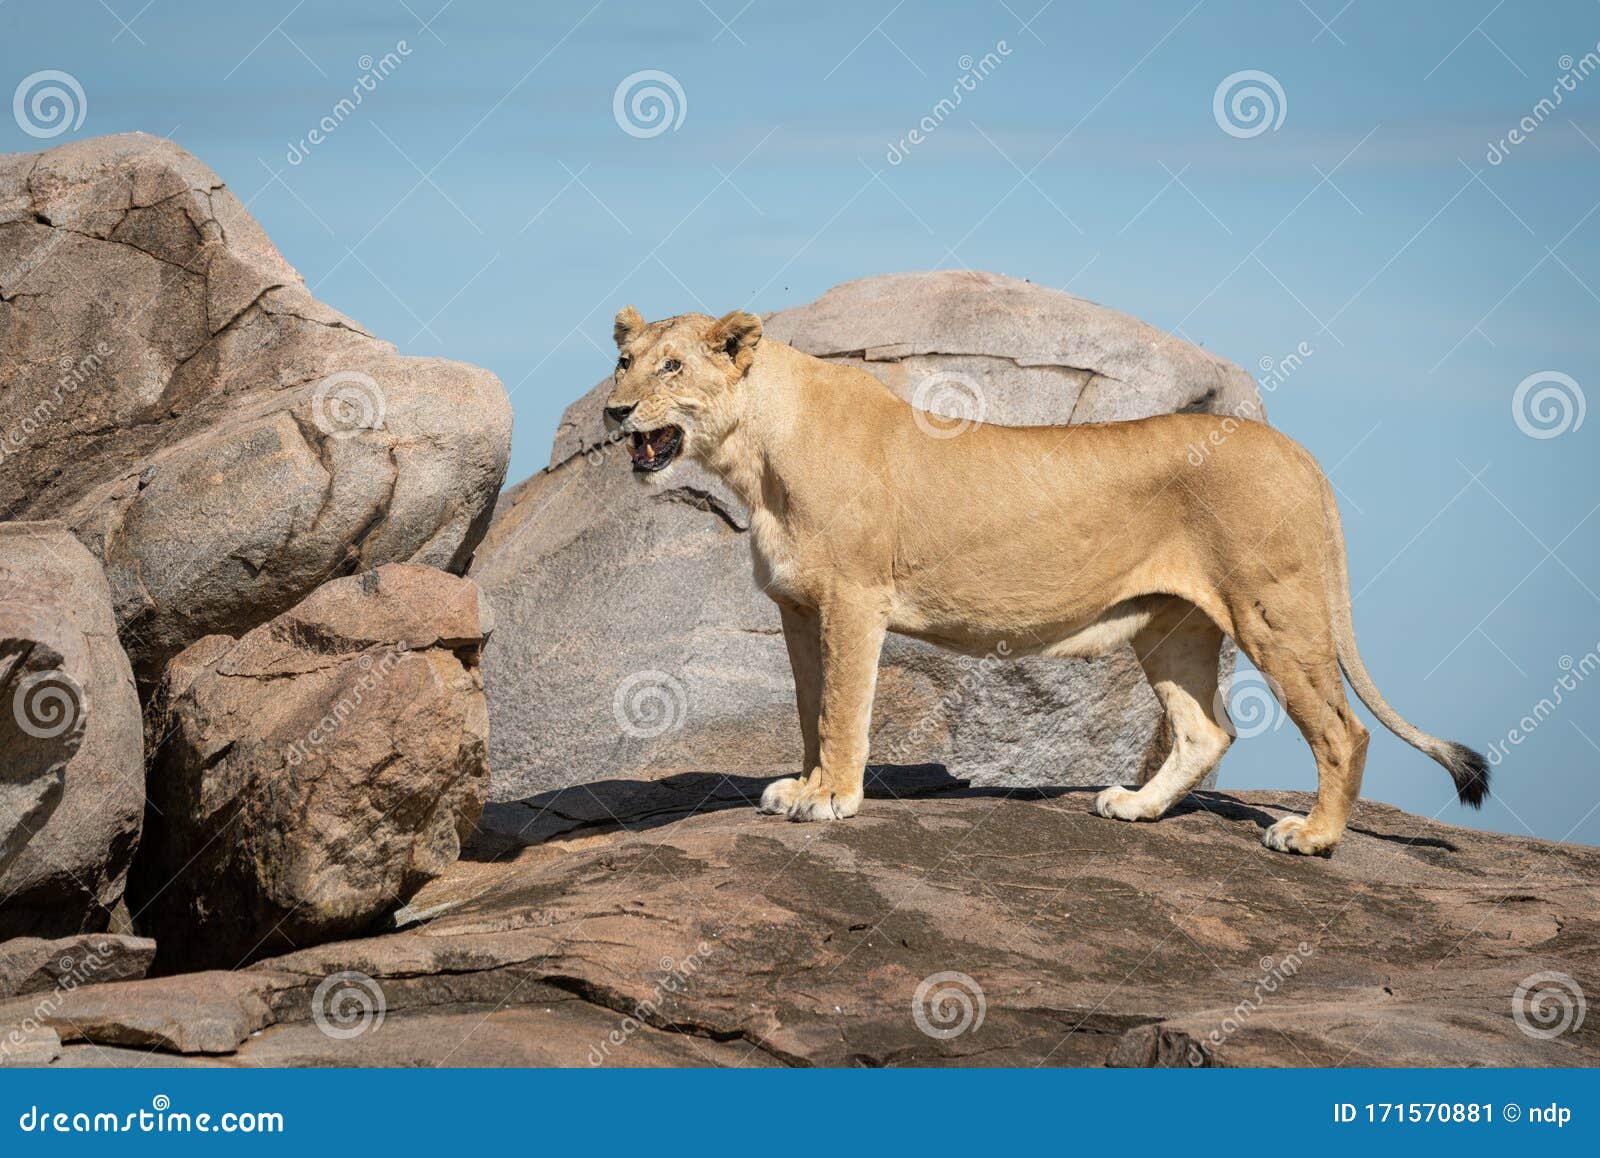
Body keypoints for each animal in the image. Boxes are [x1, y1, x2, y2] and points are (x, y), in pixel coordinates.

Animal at [602, 305, 1489, 855]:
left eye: (671, 367)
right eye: (622, 362)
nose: (613, 413)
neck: (755, 456)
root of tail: (1299, 453)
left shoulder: (854, 598)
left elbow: (844, 710)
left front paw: (833, 799)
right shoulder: (796, 607)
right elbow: (811, 708)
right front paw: (805, 786)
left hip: (1277, 613)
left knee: (1345, 731)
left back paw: (1312, 837)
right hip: (1171, 626)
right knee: (1207, 731)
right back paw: (1136, 806)